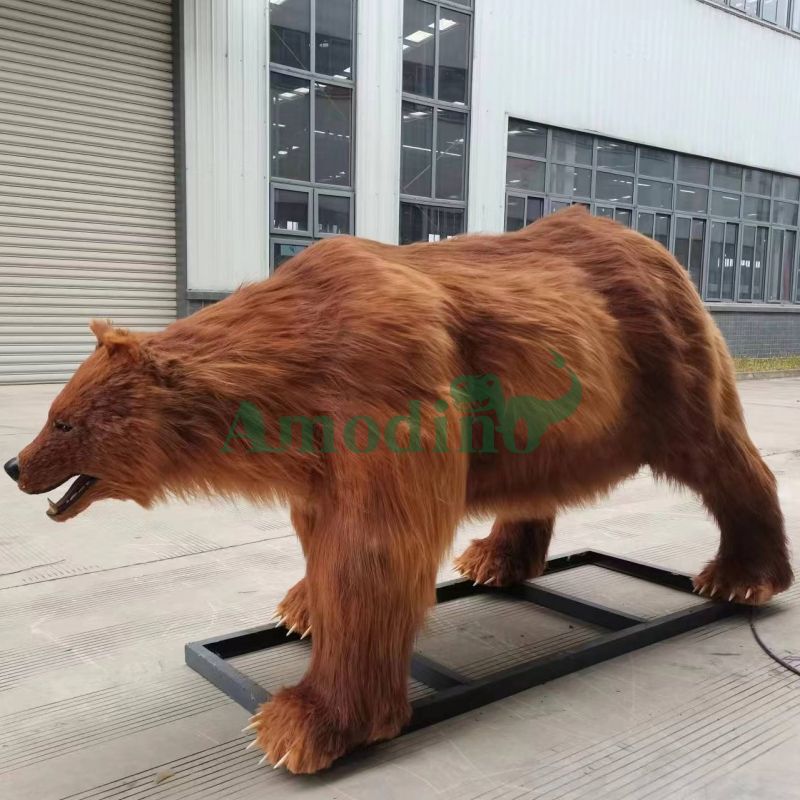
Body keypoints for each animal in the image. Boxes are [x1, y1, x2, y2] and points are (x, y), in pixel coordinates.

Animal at [5, 206, 792, 774]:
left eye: (64, 421)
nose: (14, 465)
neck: (288, 379)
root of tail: (658, 247)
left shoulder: (384, 392)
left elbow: (374, 555)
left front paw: (299, 723)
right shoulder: (320, 454)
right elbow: (321, 537)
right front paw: (300, 609)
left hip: (663, 360)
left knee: (720, 453)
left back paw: (741, 577)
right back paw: (496, 559)